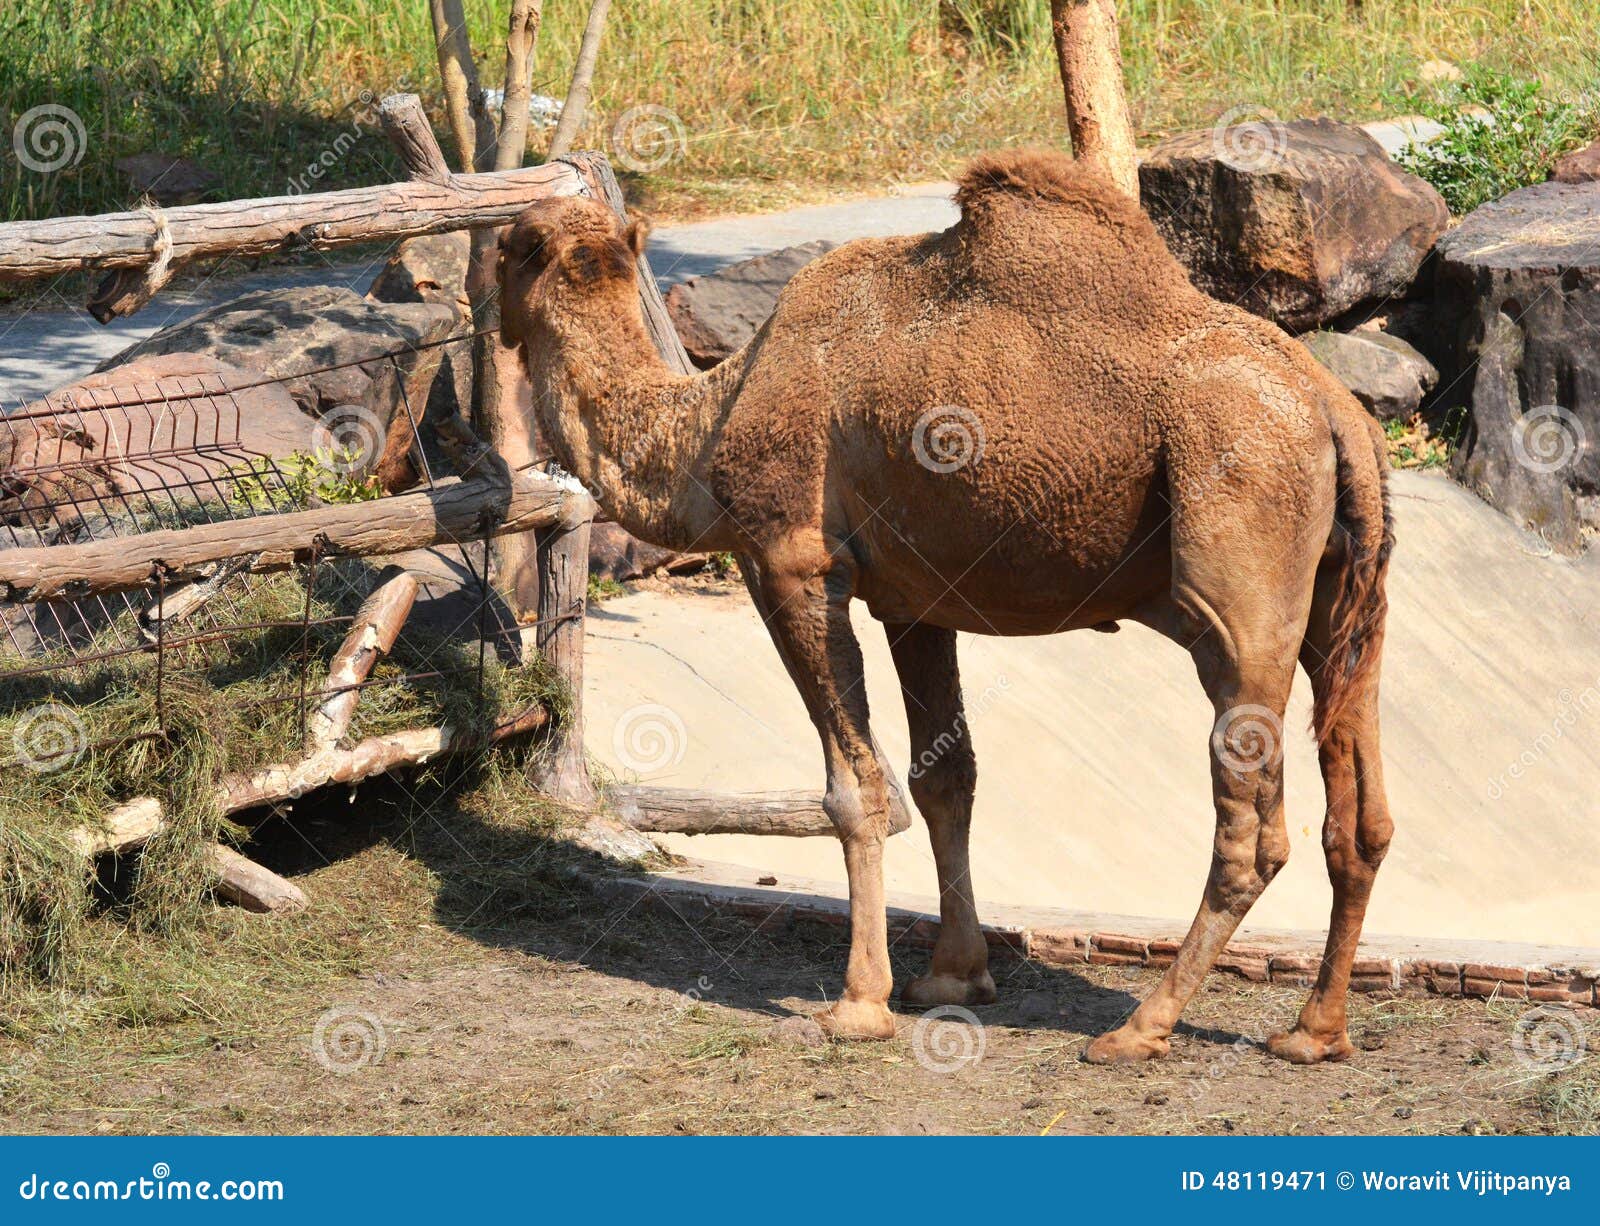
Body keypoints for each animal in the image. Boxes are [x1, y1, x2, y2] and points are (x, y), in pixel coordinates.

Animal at [497, 148, 1394, 1065]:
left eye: (506, 245)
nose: (482, 311)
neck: (711, 423)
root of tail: (1336, 413)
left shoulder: (791, 564)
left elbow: (854, 788)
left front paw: (860, 1002)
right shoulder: (914, 602)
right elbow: (944, 778)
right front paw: (955, 978)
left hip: (1239, 553)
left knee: (1254, 823)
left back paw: (1141, 1026)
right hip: (1346, 598)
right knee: (1359, 814)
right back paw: (1314, 1031)